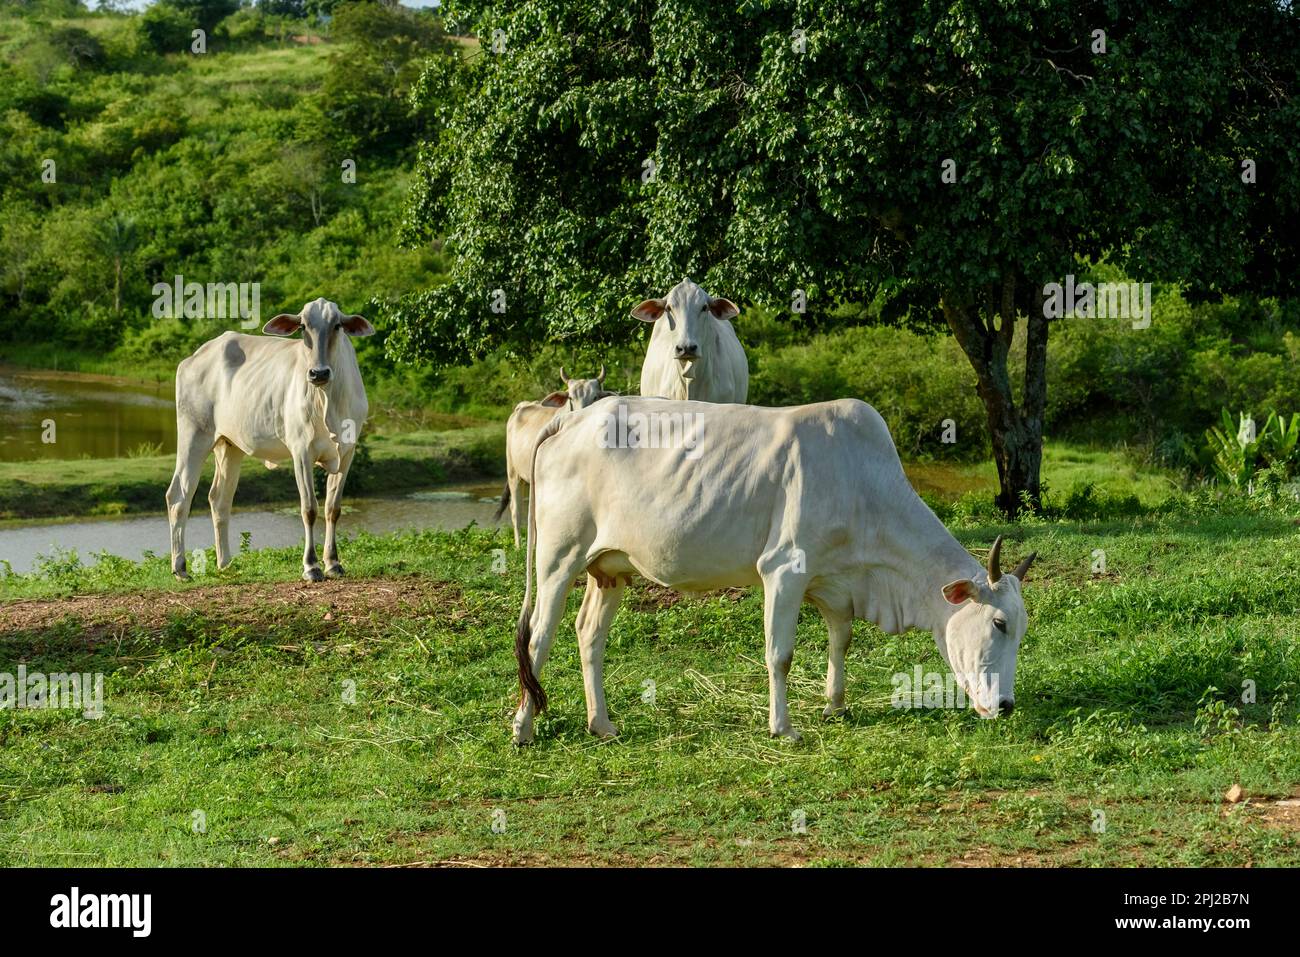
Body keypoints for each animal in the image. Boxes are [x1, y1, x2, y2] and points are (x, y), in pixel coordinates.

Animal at [165, 297, 373, 582]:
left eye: (338, 325)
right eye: (303, 326)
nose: (318, 373)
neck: (328, 400)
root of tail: (196, 356)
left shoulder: (347, 453)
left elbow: (333, 508)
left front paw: (333, 563)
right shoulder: (301, 451)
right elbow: (309, 508)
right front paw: (311, 566)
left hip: (229, 446)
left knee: (219, 500)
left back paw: (225, 563)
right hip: (193, 434)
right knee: (178, 495)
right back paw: (181, 568)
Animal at [495, 366, 617, 547]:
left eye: (595, 397)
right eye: (571, 397)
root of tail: (522, 406)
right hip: (513, 473)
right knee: (516, 510)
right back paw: (518, 545)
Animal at [511, 396, 1035, 745]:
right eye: (998, 623)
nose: (1006, 706)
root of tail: (573, 416)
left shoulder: (835, 584)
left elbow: (840, 641)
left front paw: (834, 705)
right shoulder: (785, 570)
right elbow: (780, 655)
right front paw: (783, 727)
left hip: (609, 569)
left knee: (588, 634)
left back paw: (601, 724)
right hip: (558, 558)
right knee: (539, 637)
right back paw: (523, 728)